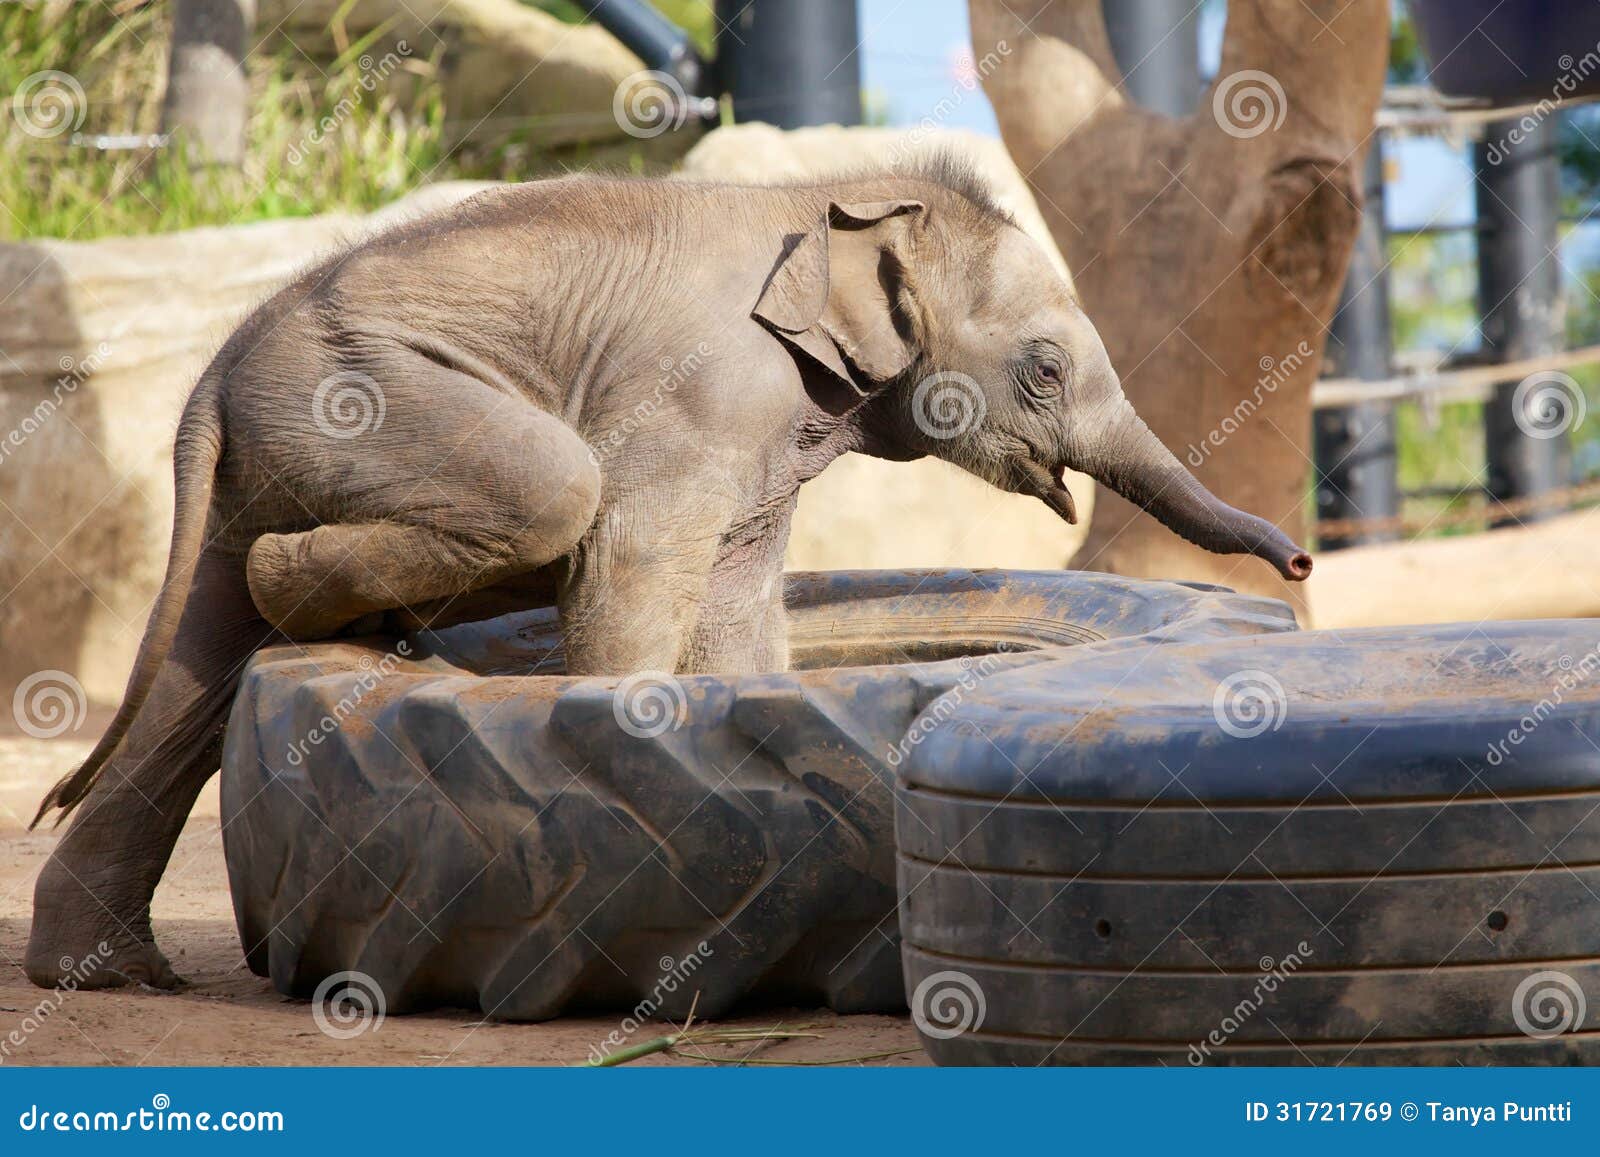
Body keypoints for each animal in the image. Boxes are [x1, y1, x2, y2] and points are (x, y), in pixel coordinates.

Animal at [24, 154, 1309, 991]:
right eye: (1044, 368)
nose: (1298, 560)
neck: (828, 197)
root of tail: (212, 371)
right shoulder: (706, 393)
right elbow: (634, 555)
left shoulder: (775, 434)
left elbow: (739, 602)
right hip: (363, 396)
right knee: (551, 489)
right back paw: (305, 592)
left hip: (285, 440)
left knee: (195, 673)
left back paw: (114, 973)